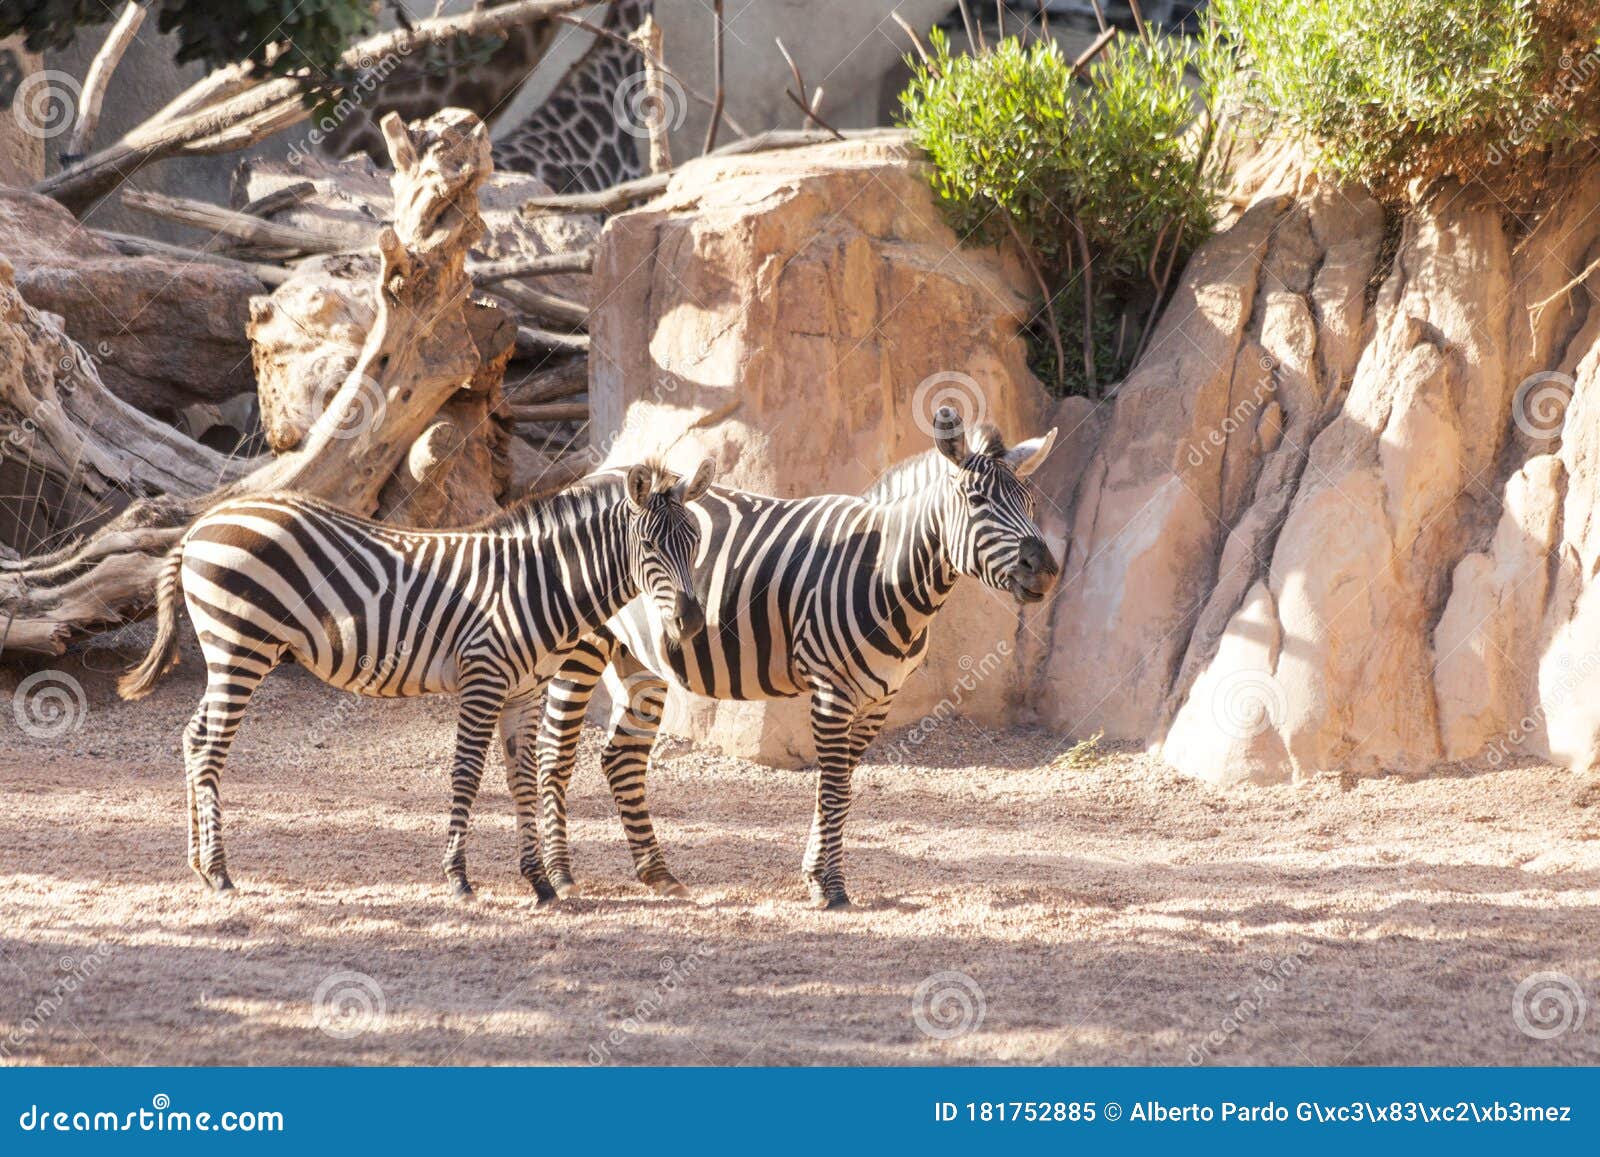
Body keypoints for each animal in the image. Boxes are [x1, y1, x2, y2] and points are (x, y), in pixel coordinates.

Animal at [117, 459, 715, 900]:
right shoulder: (483, 677)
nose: (690, 622)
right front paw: (459, 878)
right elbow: (467, 774)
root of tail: (202, 524)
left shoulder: (523, 692)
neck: (538, 583)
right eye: (650, 548)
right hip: (241, 647)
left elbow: (520, 778)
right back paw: (220, 872)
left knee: (193, 738)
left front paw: (540, 882)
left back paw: (198, 865)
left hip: (228, 653)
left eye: (695, 543)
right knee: (210, 748)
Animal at [532, 408, 1060, 908]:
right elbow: (834, 787)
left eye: (1031, 504)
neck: (885, 574)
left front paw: (818, 879)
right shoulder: (831, 690)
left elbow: (839, 788)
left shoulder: (879, 697)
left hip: (640, 660)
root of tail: (594, 475)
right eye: (977, 502)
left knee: (622, 756)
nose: (1046, 570)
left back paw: (659, 875)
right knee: (556, 752)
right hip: (580, 646)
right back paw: (560, 875)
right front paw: (832, 889)